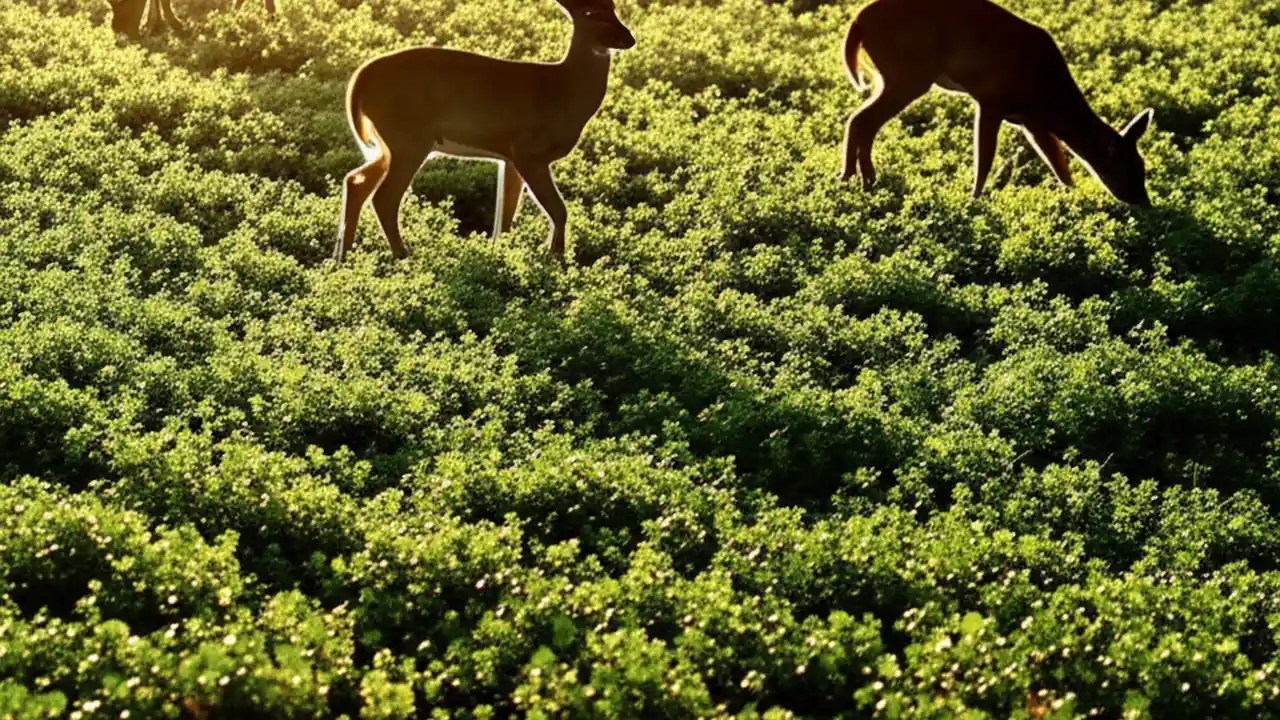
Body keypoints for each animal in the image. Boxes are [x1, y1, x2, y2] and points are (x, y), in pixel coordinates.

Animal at [335, 0, 635, 264]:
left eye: (614, 8)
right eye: (590, 13)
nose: (628, 38)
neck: (563, 92)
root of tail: (359, 80)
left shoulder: (510, 156)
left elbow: (505, 216)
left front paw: (501, 256)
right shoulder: (529, 151)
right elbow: (559, 210)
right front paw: (556, 260)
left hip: (391, 144)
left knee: (356, 180)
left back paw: (342, 258)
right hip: (407, 137)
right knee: (384, 197)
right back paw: (403, 258)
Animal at [840, 0, 1154, 206]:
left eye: (1142, 166)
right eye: (1129, 169)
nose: (1145, 202)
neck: (1048, 95)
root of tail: (857, 23)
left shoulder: (1031, 121)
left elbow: (1057, 161)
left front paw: (1072, 195)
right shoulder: (991, 100)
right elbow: (985, 159)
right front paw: (975, 200)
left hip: (897, 76)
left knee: (860, 120)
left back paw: (855, 179)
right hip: (908, 74)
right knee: (862, 120)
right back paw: (860, 180)